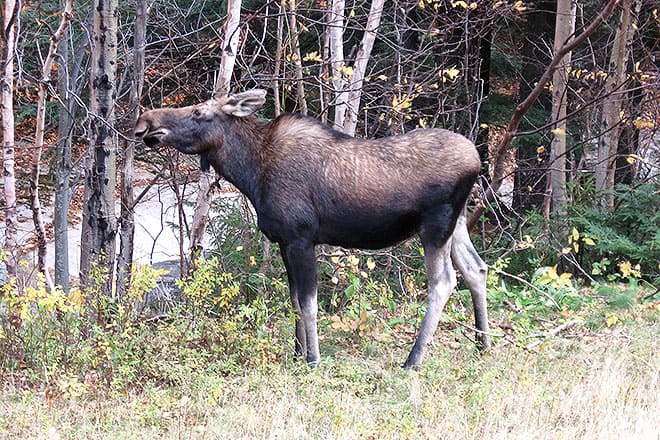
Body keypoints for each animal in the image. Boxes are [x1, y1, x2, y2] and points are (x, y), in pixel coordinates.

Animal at [135, 89, 491, 368]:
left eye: (198, 112)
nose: (145, 124)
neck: (250, 173)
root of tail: (477, 161)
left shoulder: (301, 238)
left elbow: (308, 304)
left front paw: (313, 359)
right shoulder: (284, 241)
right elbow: (293, 301)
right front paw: (296, 354)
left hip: (435, 225)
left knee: (444, 282)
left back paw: (414, 359)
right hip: (457, 222)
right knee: (476, 268)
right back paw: (483, 343)